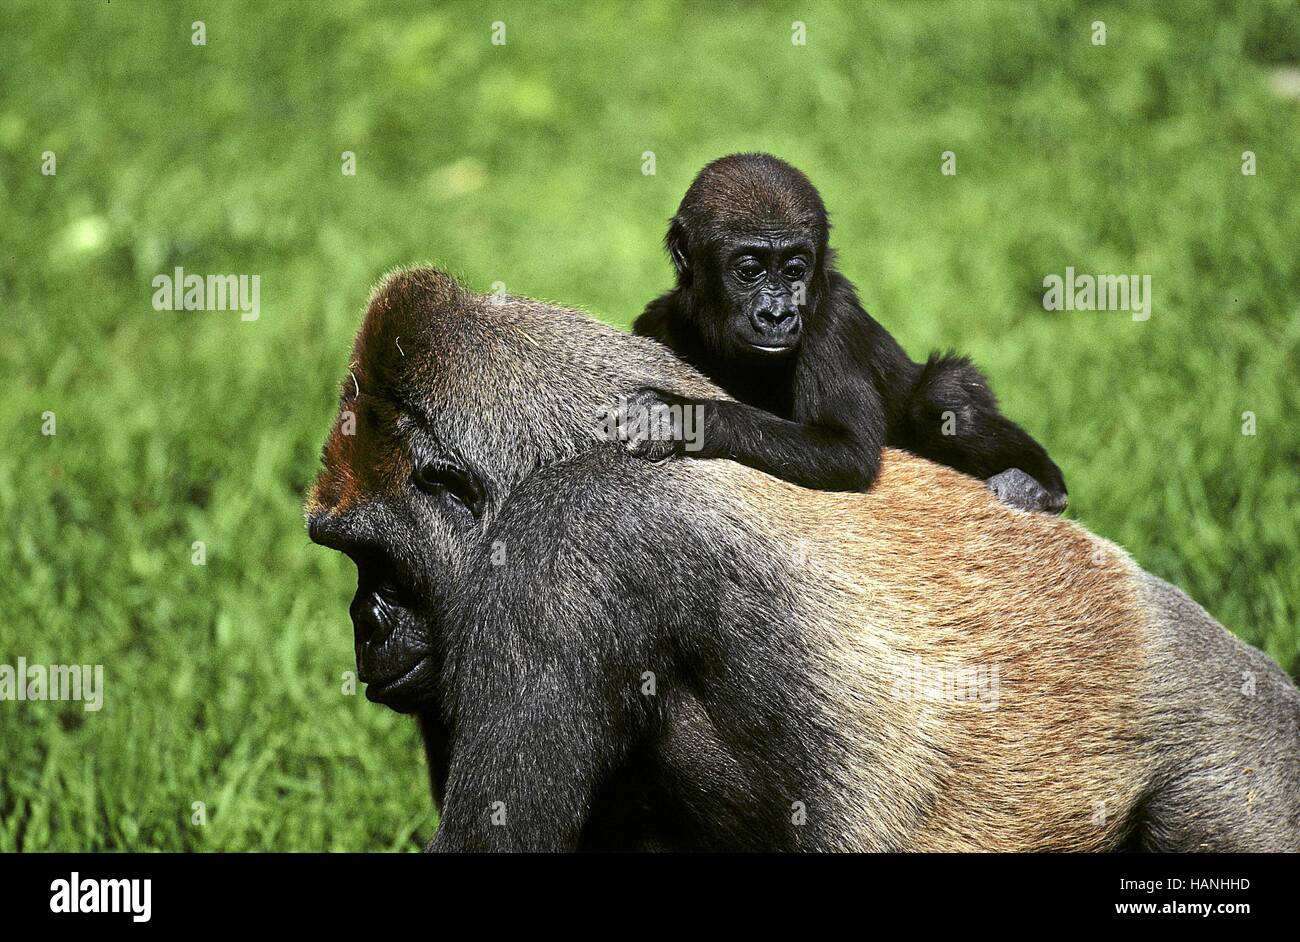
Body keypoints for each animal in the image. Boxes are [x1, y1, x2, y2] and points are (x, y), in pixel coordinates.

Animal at [625, 152, 1069, 513]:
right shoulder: (655, 323)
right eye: (749, 270)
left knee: (943, 399)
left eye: (794, 270)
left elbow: (847, 451)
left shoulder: (833, 322)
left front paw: (680, 416)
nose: (777, 315)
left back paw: (1042, 485)